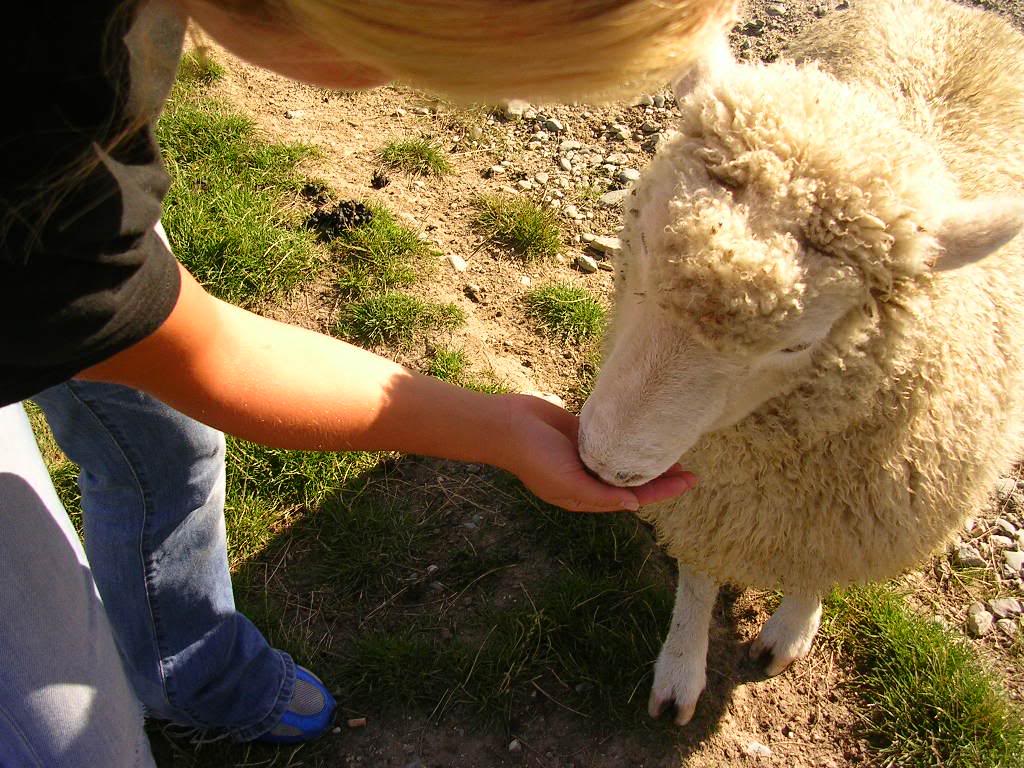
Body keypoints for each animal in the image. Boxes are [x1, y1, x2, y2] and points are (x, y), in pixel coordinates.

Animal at [578, 0, 1024, 726]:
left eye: (798, 342)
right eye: (640, 238)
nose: (605, 465)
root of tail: (967, 13)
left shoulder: (839, 520)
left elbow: (816, 571)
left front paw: (791, 629)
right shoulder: (709, 497)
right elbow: (699, 576)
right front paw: (682, 668)